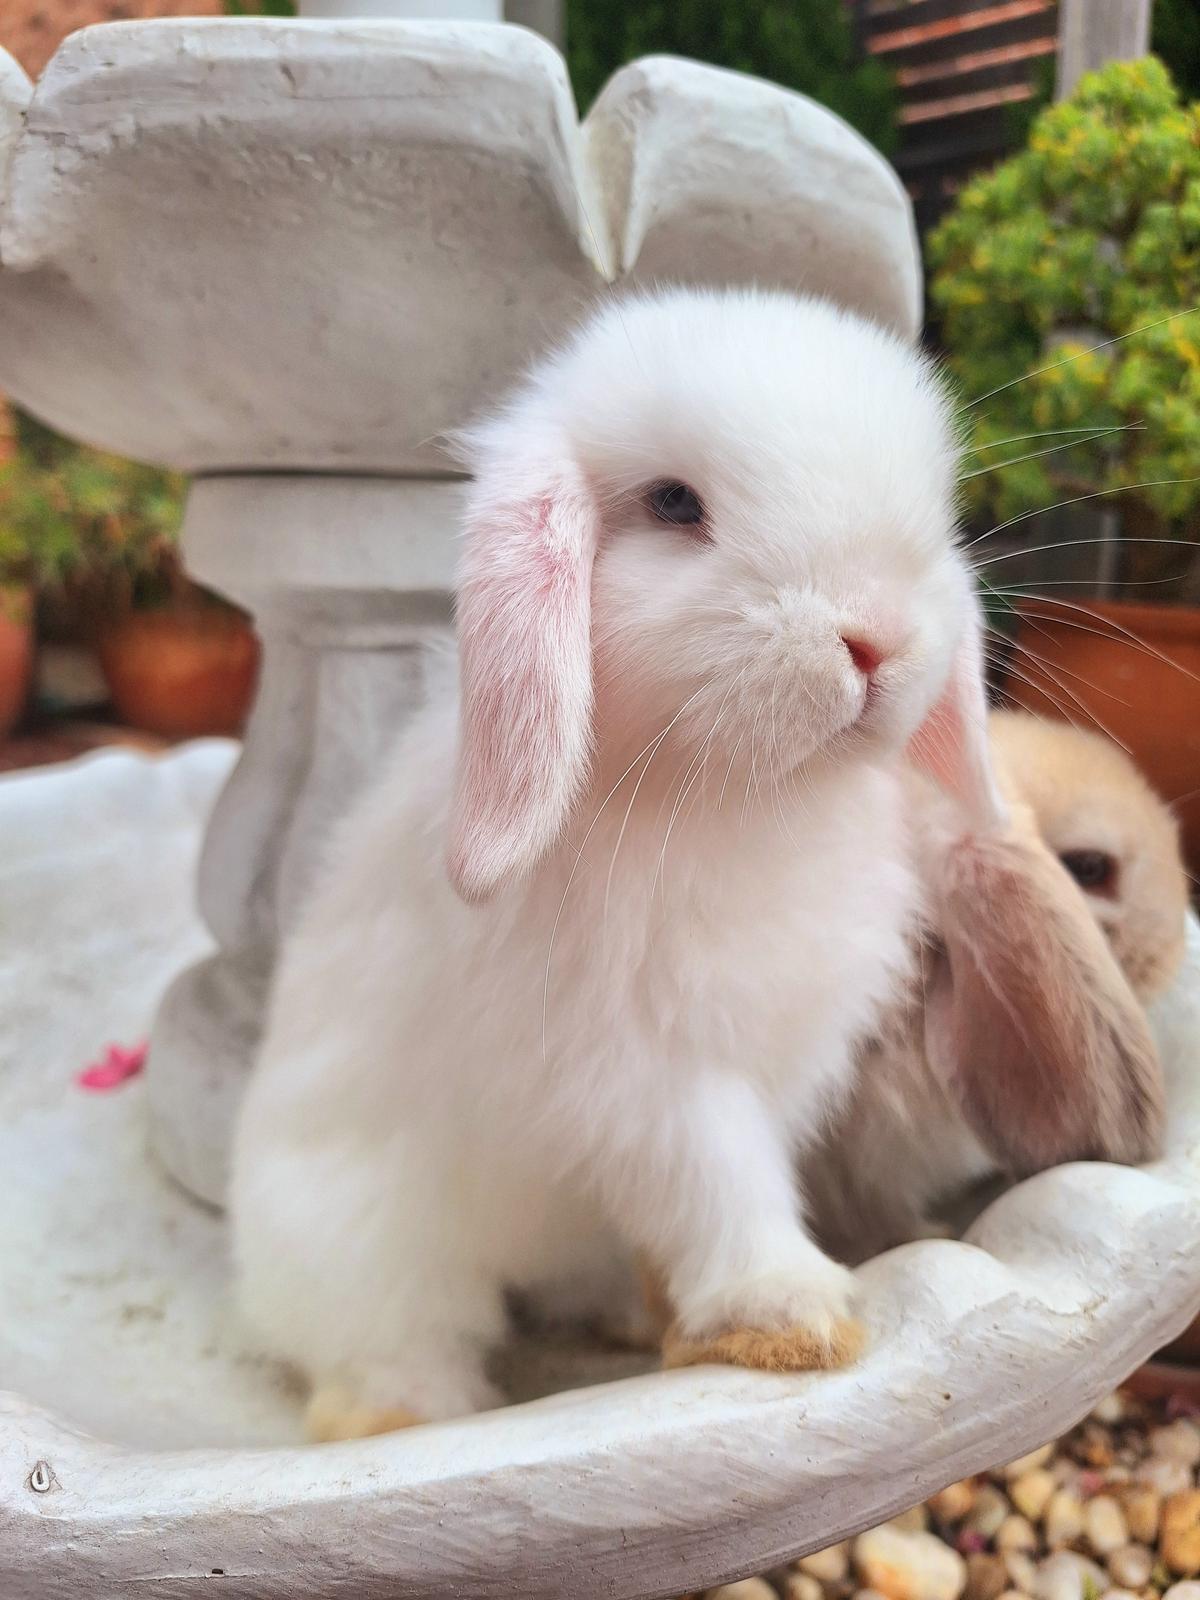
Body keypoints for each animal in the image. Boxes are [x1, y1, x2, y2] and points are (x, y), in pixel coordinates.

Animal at [230, 285, 1040, 1439]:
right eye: (672, 503)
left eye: (934, 511)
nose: (877, 640)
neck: (747, 798)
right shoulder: (652, 1077)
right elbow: (723, 1185)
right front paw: (792, 1316)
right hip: (358, 1244)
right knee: (391, 1340)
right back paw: (404, 1414)